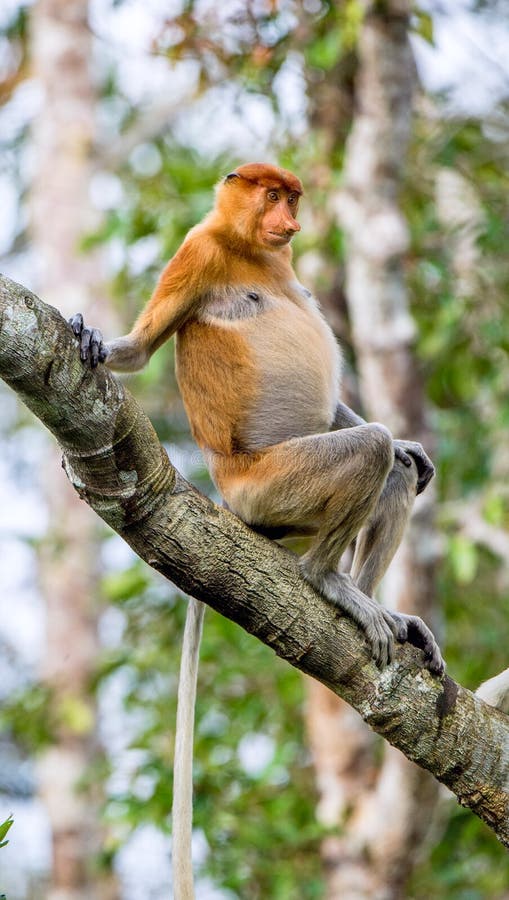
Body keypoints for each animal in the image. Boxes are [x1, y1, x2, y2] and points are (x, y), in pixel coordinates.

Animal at [70, 162, 445, 898]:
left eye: (292, 198)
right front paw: (95, 342)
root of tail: (231, 499)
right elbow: (140, 349)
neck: (250, 250)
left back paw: (382, 601)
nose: (290, 221)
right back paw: (326, 582)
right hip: (274, 481)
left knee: (389, 466)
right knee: (367, 450)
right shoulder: (198, 252)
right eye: (271, 194)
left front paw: (415, 449)